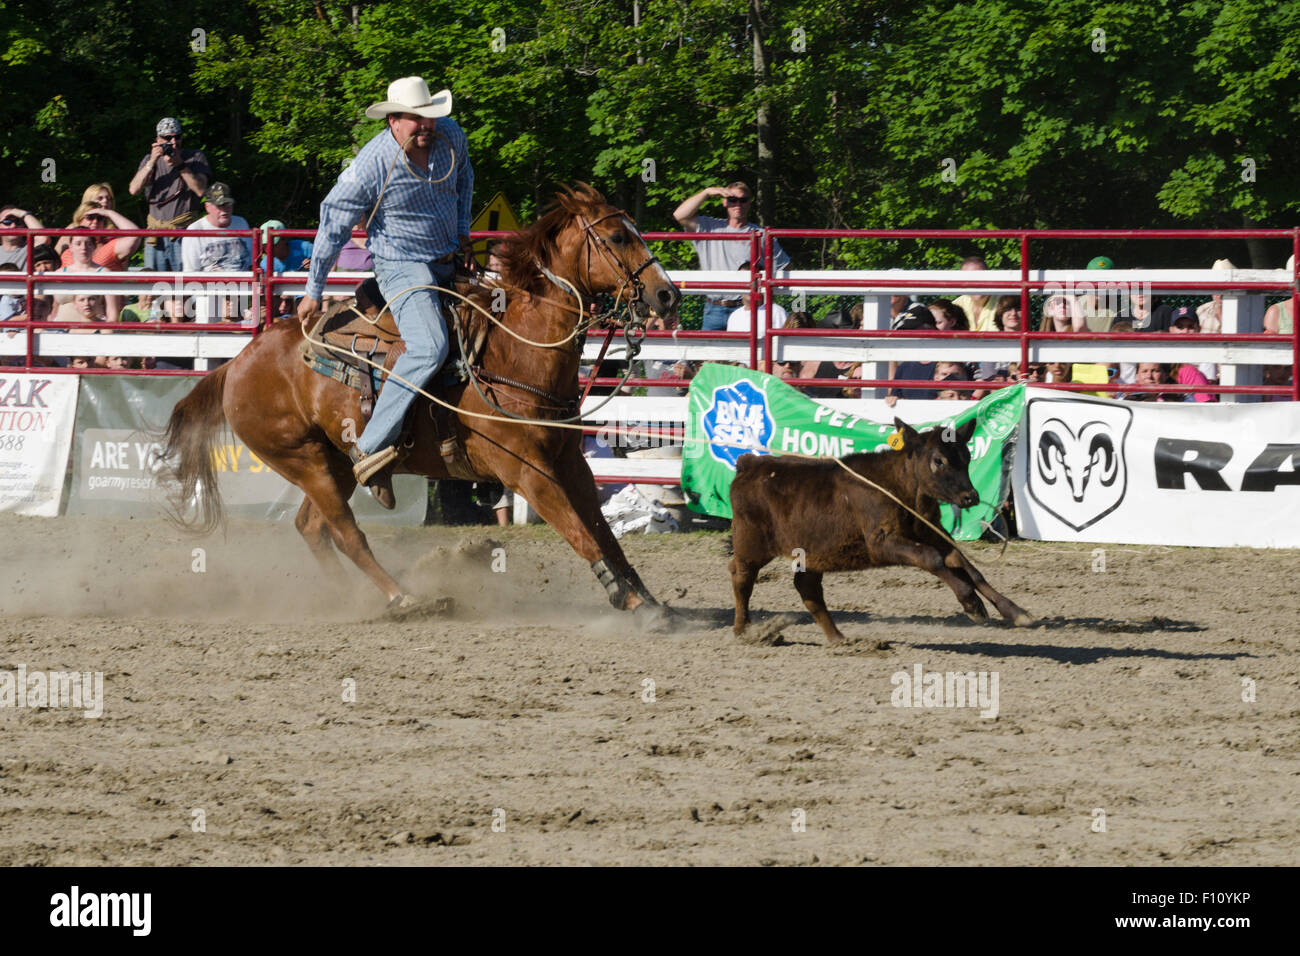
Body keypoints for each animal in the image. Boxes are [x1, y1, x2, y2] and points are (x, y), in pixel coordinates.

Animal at [728, 417, 1034, 644]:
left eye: (967, 457)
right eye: (939, 460)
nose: (970, 497)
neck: (901, 490)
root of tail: (750, 464)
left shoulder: (933, 533)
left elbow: (966, 566)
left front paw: (1015, 611)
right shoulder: (883, 542)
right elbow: (932, 559)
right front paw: (972, 604)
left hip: (811, 555)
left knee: (808, 589)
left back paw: (839, 639)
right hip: (751, 543)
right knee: (742, 577)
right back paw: (744, 630)